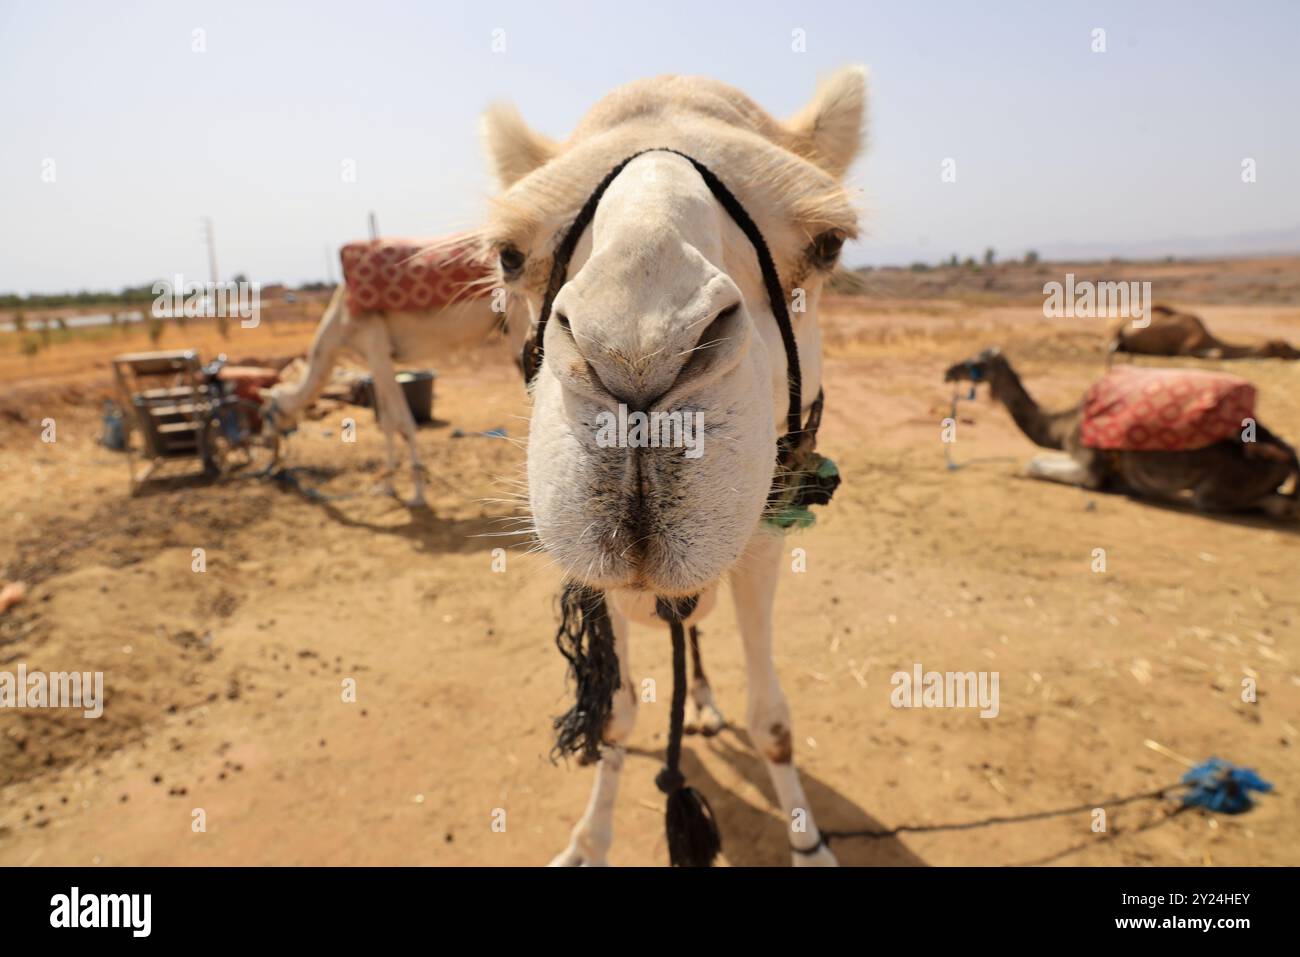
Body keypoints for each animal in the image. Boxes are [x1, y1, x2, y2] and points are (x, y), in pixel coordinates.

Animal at [263, 239, 527, 505]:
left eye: (268, 412)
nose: (269, 446)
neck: (339, 323)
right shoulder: (376, 359)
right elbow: (388, 422)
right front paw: (387, 487)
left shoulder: (376, 347)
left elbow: (405, 421)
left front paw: (418, 495)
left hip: (518, 320)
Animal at [480, 67, 866, 865]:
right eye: (509, 254)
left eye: (827, 244)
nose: (638, 353)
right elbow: (614, 713)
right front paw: (587, 843)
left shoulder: (762, 543)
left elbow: (773, 720)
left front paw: (810, 844)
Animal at [945, 347, 1299, 516]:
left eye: (977, 363)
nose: (948, 371)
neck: (1062, 425)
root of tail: (1288, 455)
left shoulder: (1089, 467)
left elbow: (1032, 464)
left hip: (1218, 489)